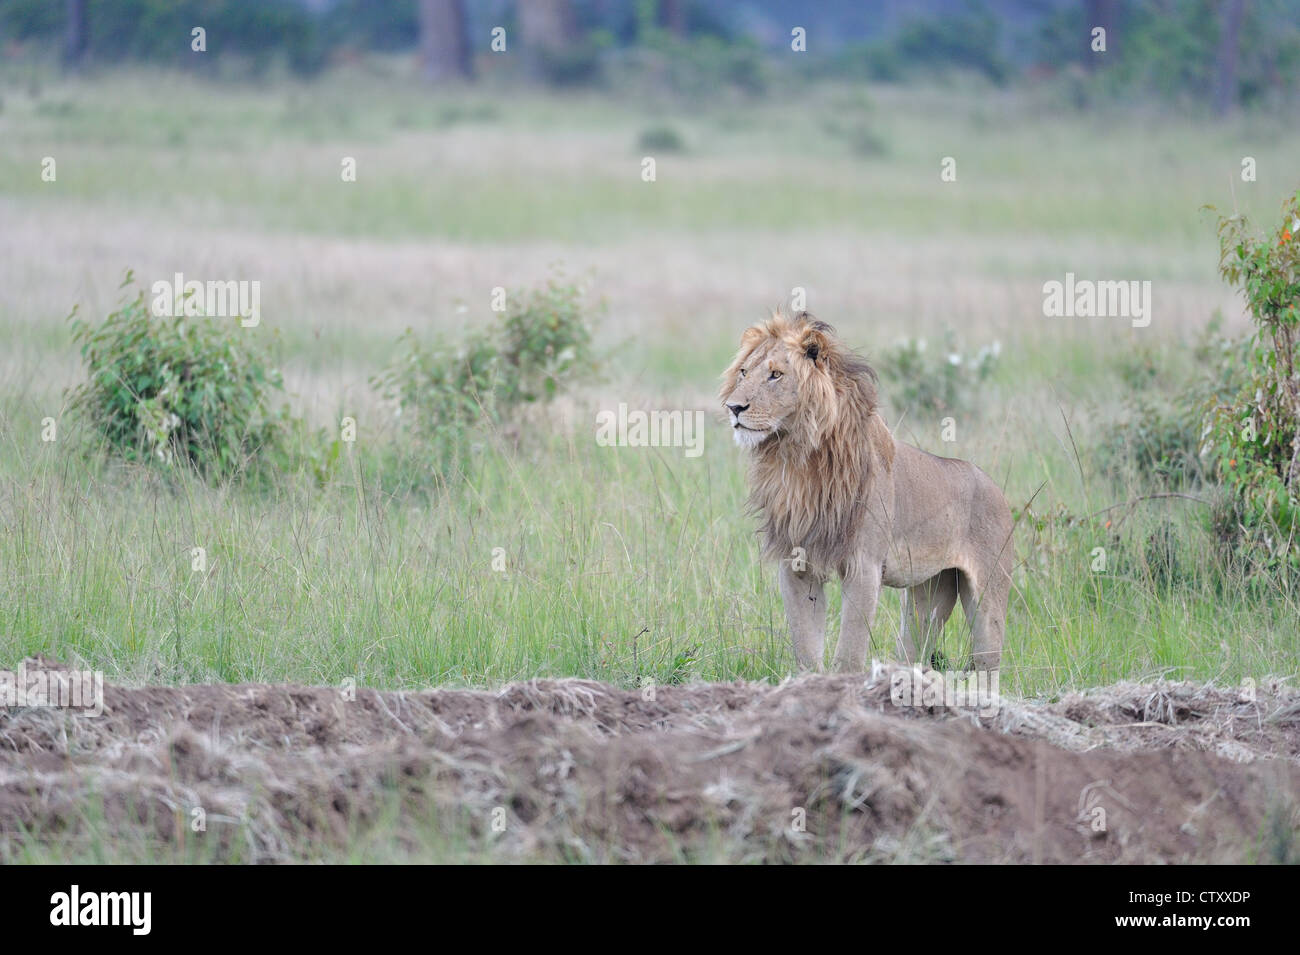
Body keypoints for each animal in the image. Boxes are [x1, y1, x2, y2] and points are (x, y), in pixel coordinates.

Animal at [720, 309, 1013, 674]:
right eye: (744, 372)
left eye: (776, 374)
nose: (733, 407)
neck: (799, 459)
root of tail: (996, 489)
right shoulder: (796, 564)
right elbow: (806, 645)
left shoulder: (864, 566)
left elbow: (849, 650)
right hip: (930, 591)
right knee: (914, 647)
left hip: (988, 595)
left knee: (988, 660)